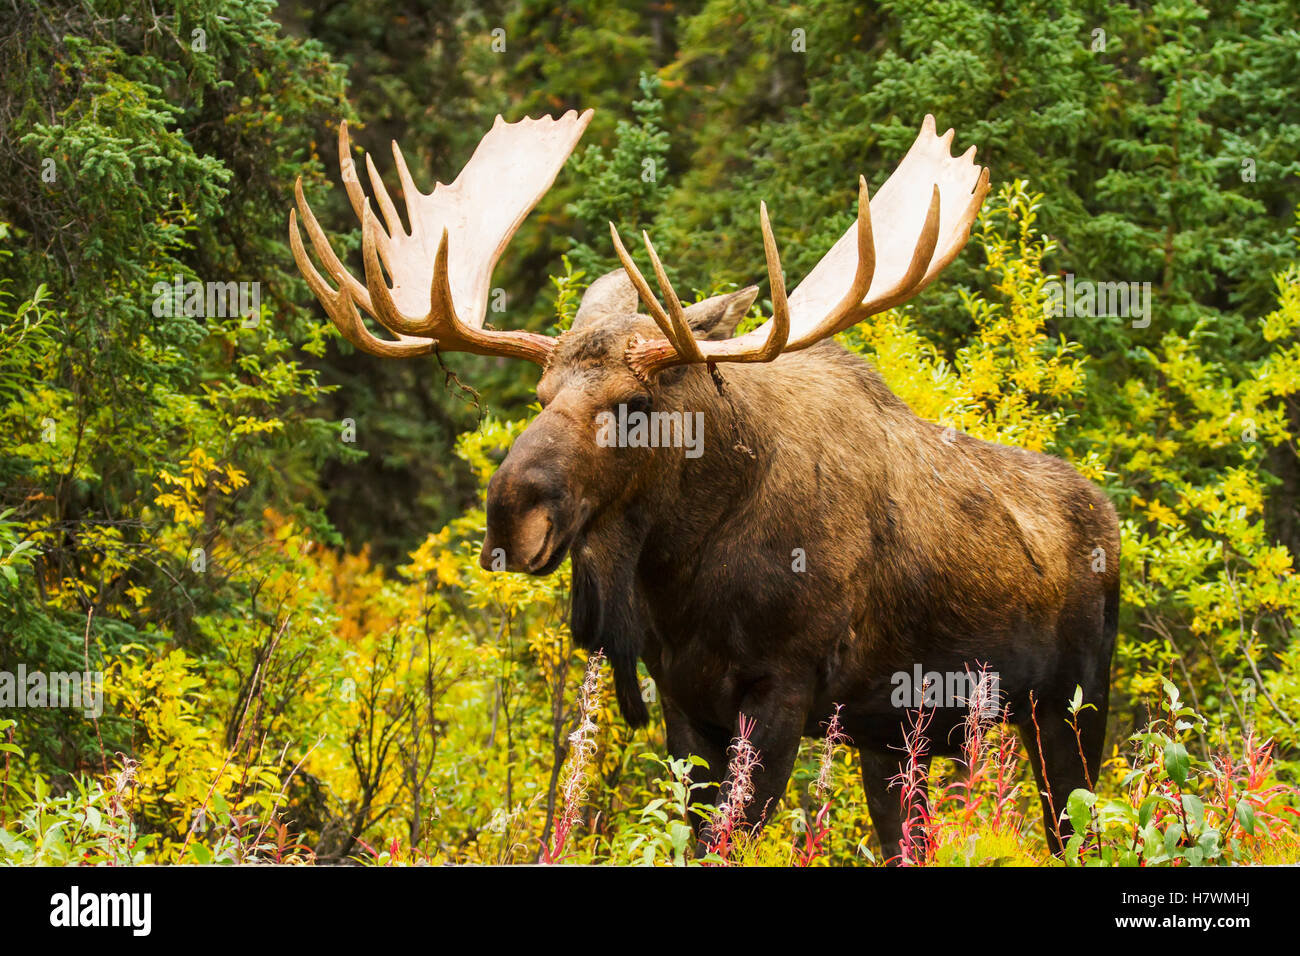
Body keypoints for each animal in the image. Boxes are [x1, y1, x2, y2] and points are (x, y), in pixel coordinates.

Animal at [289, 108, 1120, 861]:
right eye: (541, 394)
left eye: (634, 406)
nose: (508, 514)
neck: (681, 570)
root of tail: (1110, 520)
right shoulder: (684, 698)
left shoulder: (783, 689)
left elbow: (731, 837)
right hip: (894, 737)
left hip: (1072, 710)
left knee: (1076, 829)